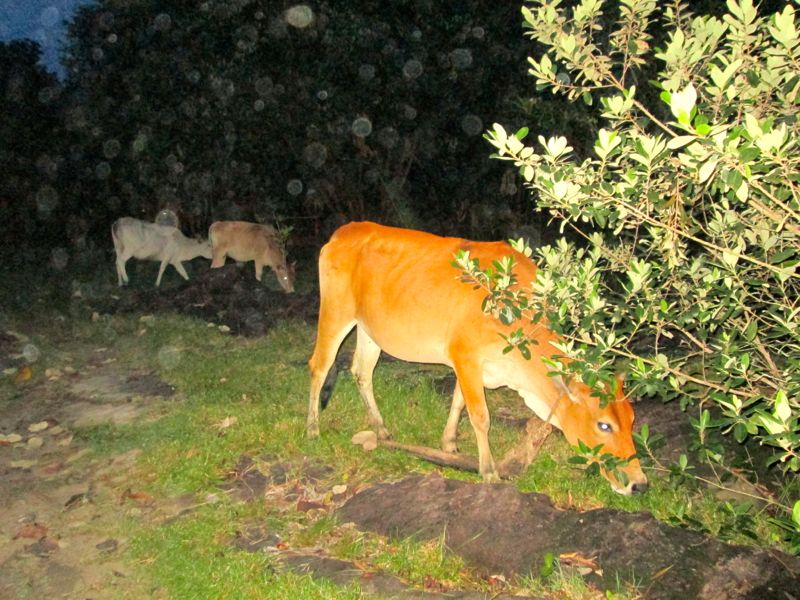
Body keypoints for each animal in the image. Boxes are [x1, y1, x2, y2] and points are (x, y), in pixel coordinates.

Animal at [307, 222, 647, 495]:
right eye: (604, 425)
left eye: (632, 420)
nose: (639, 484)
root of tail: (344, 230)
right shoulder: (465, 354)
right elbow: (480, 415)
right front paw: (489, 471)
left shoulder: (473, 364)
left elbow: (459, 403)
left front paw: (449, 444)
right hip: (336, 313)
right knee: (320, 367)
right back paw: (313, 429)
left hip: (369, 329)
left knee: (362, 371)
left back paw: (381, 430)